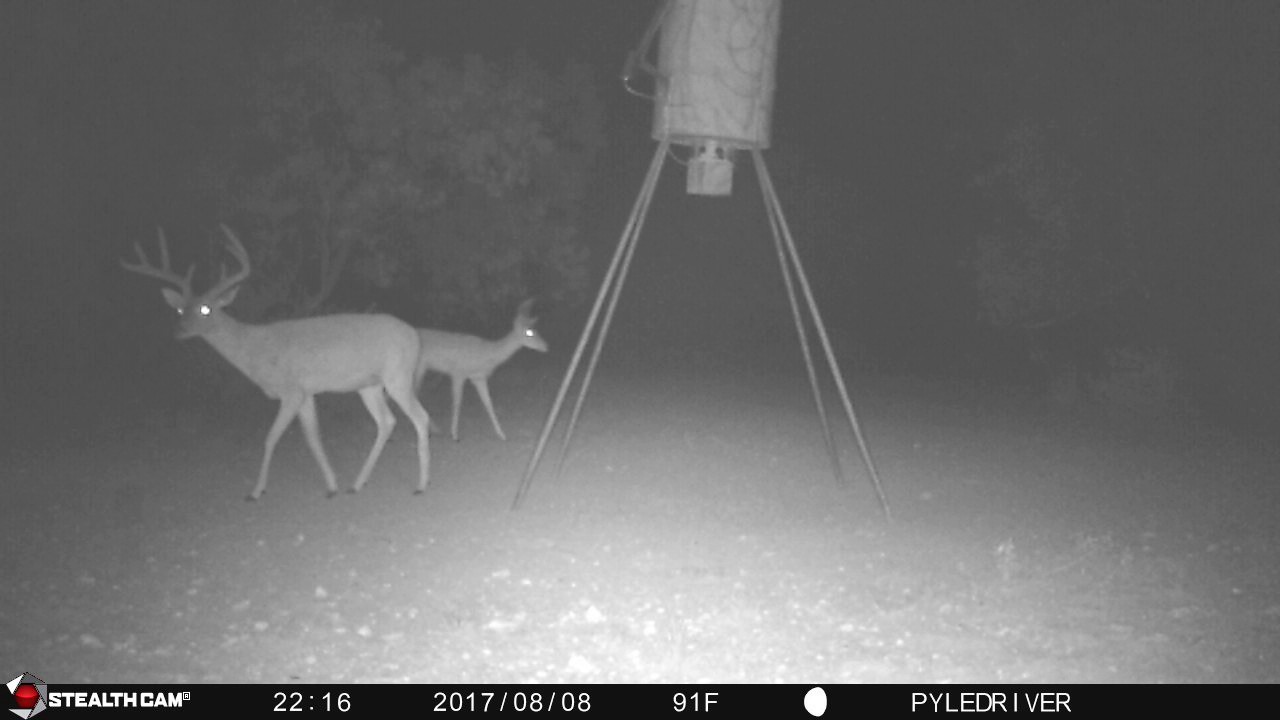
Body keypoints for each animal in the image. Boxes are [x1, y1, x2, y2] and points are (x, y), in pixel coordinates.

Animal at [121, 225, 432, 501]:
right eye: (180, 309)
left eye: (206, 309)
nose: (179, 330)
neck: (254, 352)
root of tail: (415, 335)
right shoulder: (306, 394)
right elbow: (313, 438)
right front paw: (331, 486)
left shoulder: (290, 390)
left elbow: (271, 438)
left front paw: (256, 491)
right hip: (369, 385)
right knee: (387, 421)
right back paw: (357, 484)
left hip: (397, 375)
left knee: (420, 416)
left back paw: (421, 485)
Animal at [414, 299, 548, 441]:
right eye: (529, 332)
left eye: (535, 329)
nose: (546, 346)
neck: (485, 355)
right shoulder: (458, 373)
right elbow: (457, 402)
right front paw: (455, 435)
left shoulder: (479, 377)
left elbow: (488, 403)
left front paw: (502, 434)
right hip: (419, 367)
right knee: (415, 393)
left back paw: (434, 429)